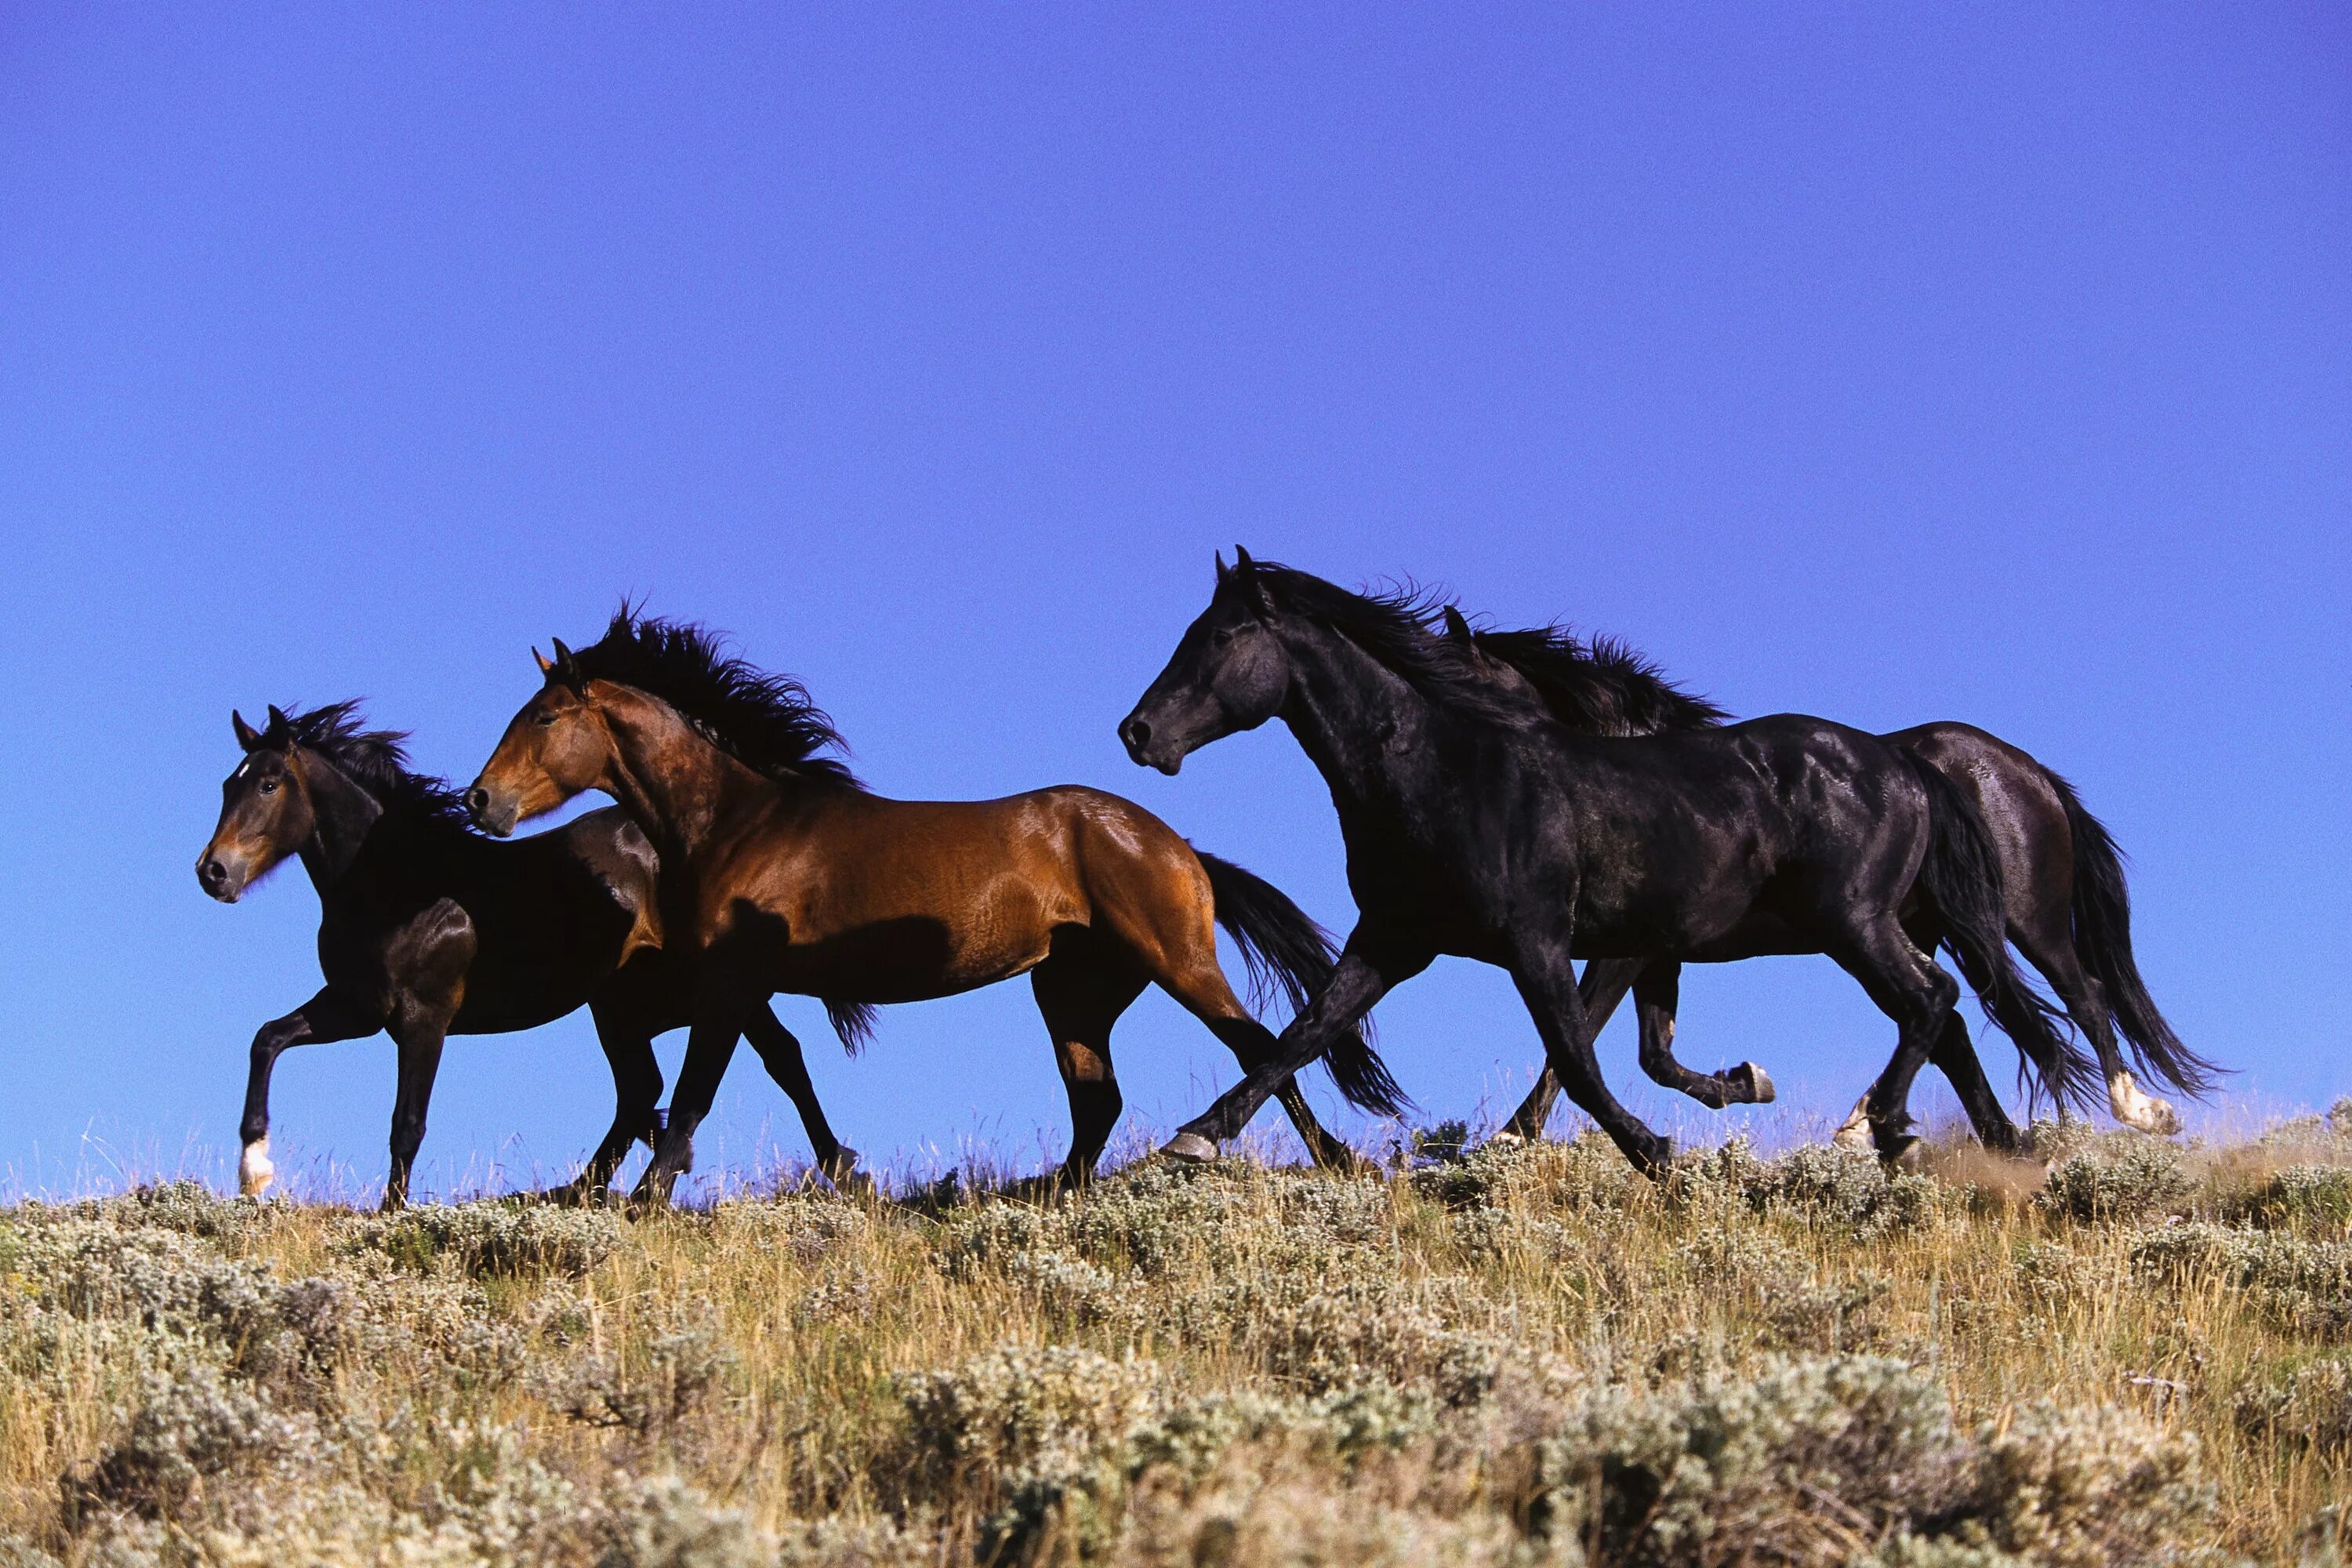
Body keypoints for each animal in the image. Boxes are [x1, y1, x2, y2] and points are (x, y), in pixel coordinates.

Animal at [195, 705, 875, 1213]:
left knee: (774, 1057)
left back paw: (842, 1171)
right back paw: (583, 1188)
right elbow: (267, 1039)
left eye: (268, 783)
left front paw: (391, 1214)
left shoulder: (424, 1017)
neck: (399, 883)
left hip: (697, 988)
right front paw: (254, 1170)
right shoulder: (356, 1009)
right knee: (645, 1090)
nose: (213, 872)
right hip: (620, 1002)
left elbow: (407, 1122)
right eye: (228, 784)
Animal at [459, 611, 1392, 1203]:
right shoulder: (745, 985)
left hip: (1177, 961)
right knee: (1099, 1098)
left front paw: (649, 1194)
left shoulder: (730, 983)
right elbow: (783, 1066)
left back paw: (1331, 1160)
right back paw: (1048, 1193)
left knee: (1259, 1046)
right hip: (1073, 988)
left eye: (544, 717)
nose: (480, 802)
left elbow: (696, 1090)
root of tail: (1179, 846)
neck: (736, 823)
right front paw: (845, 1170)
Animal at [1110, 554, 2089, 1175]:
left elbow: (1577, 1055)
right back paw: (1990, 1147)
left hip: (1854, 923)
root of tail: (1905, 762)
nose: (1138, 731)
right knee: (1949, 1016)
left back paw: (1891, 1130)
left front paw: (1650, 1151)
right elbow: (1297, 1036)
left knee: (1934, 1001)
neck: (1446, 766)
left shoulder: (1539, 940)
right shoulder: (1394, 939)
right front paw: (1194, 1138)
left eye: (1223, 634)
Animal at [1430, 606, 2220, 1147]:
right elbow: (1650, 1054)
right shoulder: (1655, 955)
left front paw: (1508, 1142)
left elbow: (1578, 1037)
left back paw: (2140, 1110)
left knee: (2079, 996)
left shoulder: (1623, 951)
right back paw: (1891, 1126)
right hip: (1916, 930)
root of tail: (2030, 771)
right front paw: (1745, 1083)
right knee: (1948, 1022)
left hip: (2020, 922)